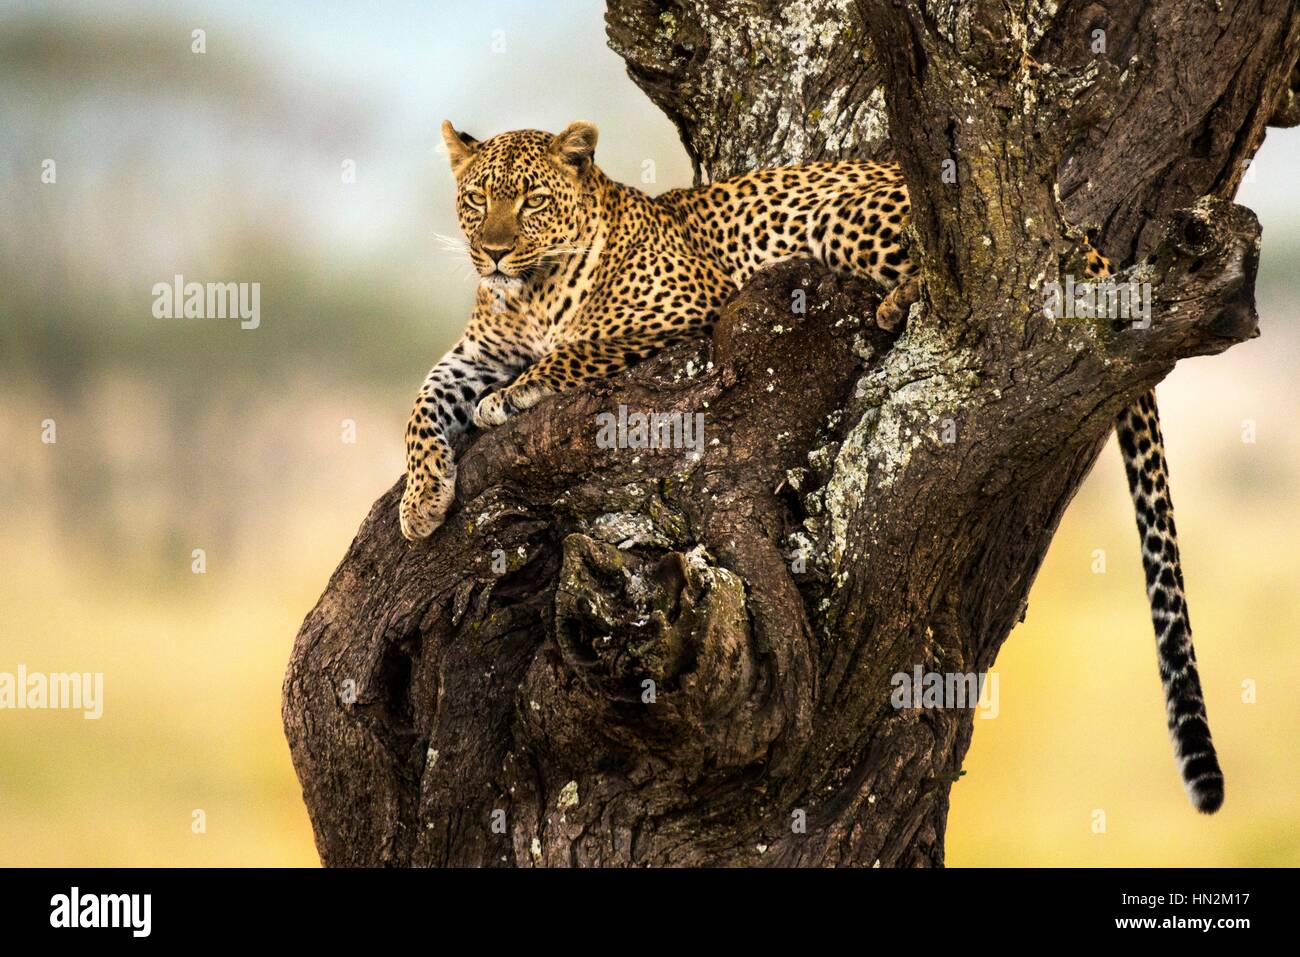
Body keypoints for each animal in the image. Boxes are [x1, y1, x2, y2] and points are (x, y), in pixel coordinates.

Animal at [399, 120, 1223, 814]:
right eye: (477, 199)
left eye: (531, 201)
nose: (491, 251)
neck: (530, 295)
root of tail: (1073, 231)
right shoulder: (474, 351)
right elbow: (422, 400)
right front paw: (421, 500)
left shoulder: (685, 307)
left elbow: (580, 348)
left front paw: (513, 397)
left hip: (847, 216)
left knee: (959, 275)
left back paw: (896, 303)